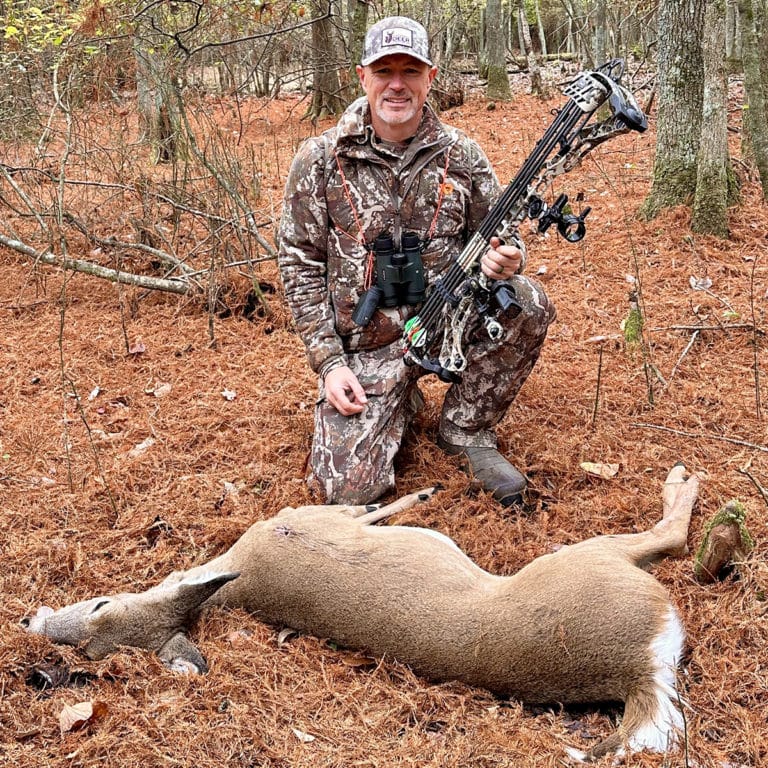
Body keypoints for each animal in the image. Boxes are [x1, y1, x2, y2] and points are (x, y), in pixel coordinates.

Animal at [22, 464, 700, 762]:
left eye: (100, 605)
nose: (34, 622)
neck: (237, 575)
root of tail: (635, 670)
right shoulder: (307, 517)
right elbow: (369, 508)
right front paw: (420, 492)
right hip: (592, 563)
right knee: (665, 537)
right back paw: (682, 480)